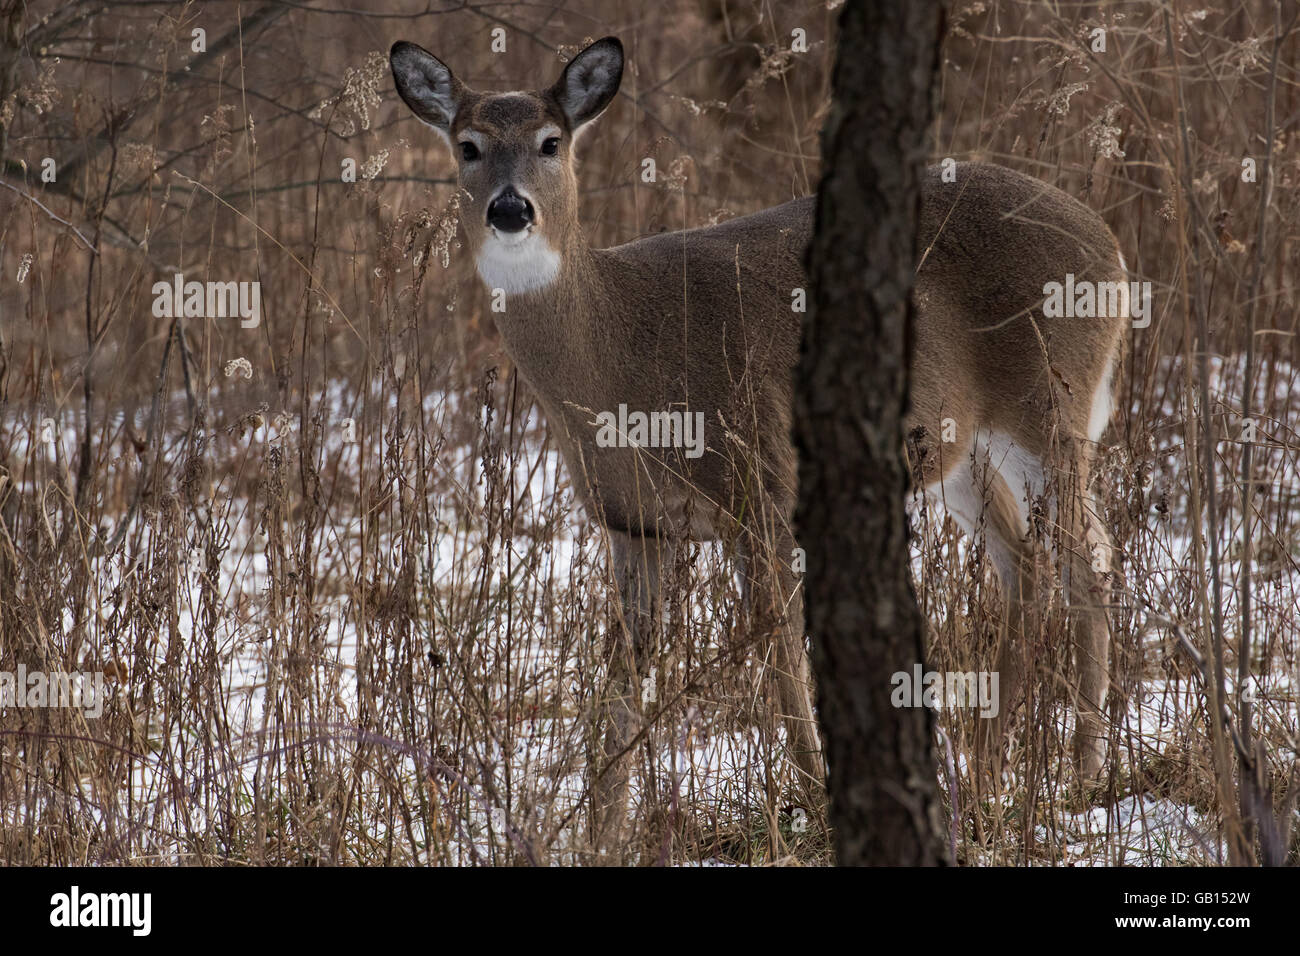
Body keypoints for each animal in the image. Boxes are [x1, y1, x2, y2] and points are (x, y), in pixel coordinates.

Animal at [389, 35, 1127, 848]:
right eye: (467, 146)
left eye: (552, 142)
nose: (511, 208)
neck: (618, 359)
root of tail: (1112, 245)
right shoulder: (633, 522)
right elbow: (622, 675)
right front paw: (601, 833)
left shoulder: (762, 485)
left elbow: (779, 665)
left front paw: (817, 805)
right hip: (960, 450)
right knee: (1027, 560)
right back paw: (993, 772)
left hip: (1050, 410)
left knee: (1088, 559)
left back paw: (1086, 770)